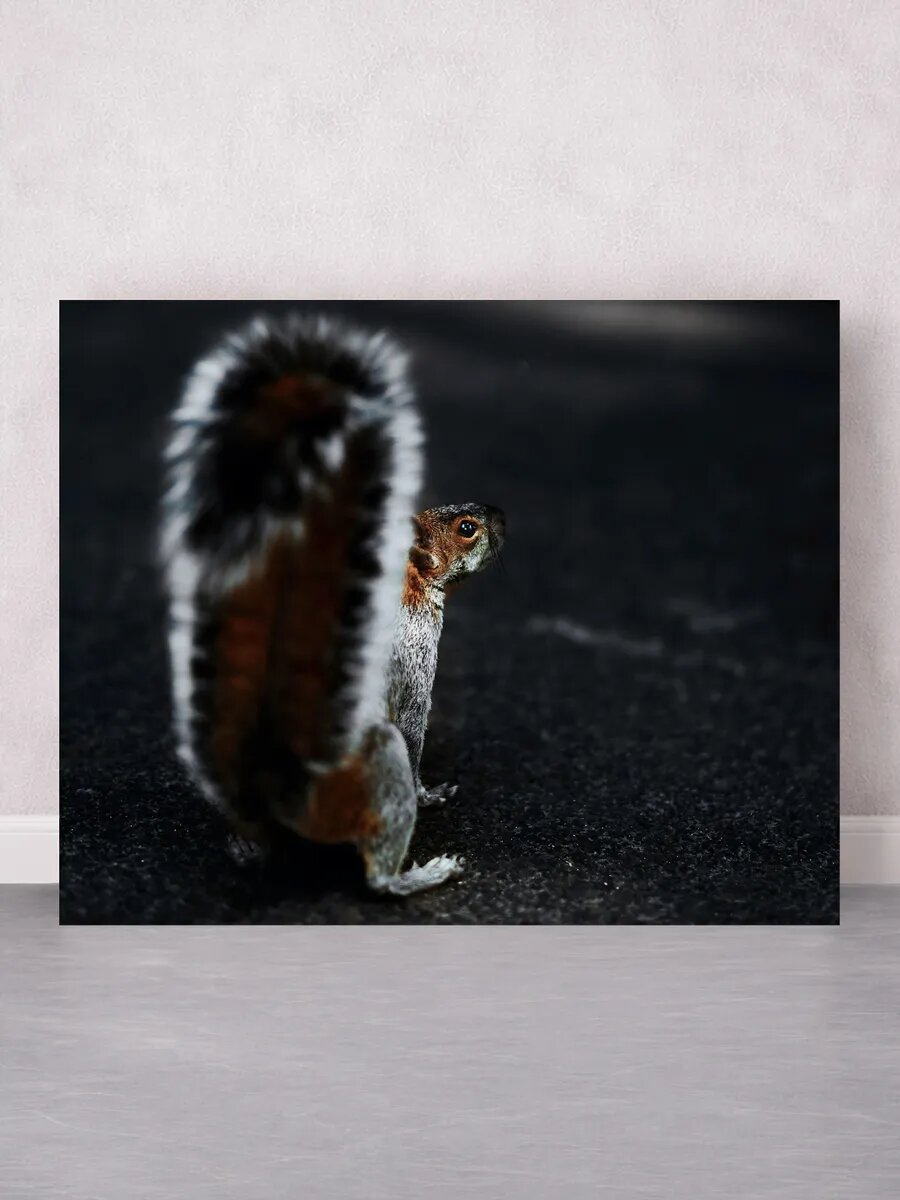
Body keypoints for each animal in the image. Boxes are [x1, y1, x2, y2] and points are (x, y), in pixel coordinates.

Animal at [161, 312, 505, 896]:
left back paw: (245, 843)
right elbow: (413, 729)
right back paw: (418, 875)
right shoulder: (414, 657)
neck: (409, 586)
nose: (499, 513)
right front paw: (429, 793)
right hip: (376, 775)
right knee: (377, 871)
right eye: (466, 529)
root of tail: (280, 789)